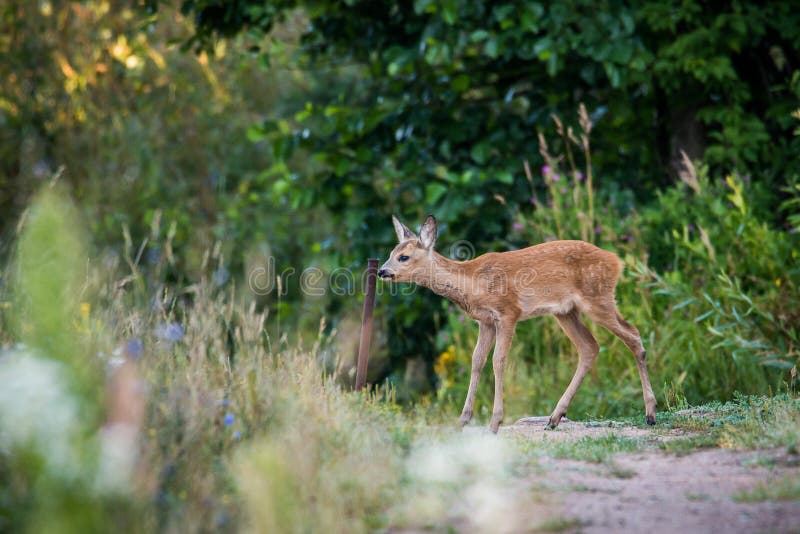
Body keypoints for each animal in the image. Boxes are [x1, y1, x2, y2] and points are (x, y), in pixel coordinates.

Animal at [378, 214, 657, 433]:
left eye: (403, 257)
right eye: (391, 253)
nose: (381, 271)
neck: (472, 282)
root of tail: (617, 261)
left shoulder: (508, 312)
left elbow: (498, 361)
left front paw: (494, 423)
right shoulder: (486, 321)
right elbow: (477, 361)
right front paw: (463, 420)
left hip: (598, 298)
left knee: (633, 335)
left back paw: (650, 414)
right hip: (566, 312)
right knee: (590, 347)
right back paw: (554, 417)